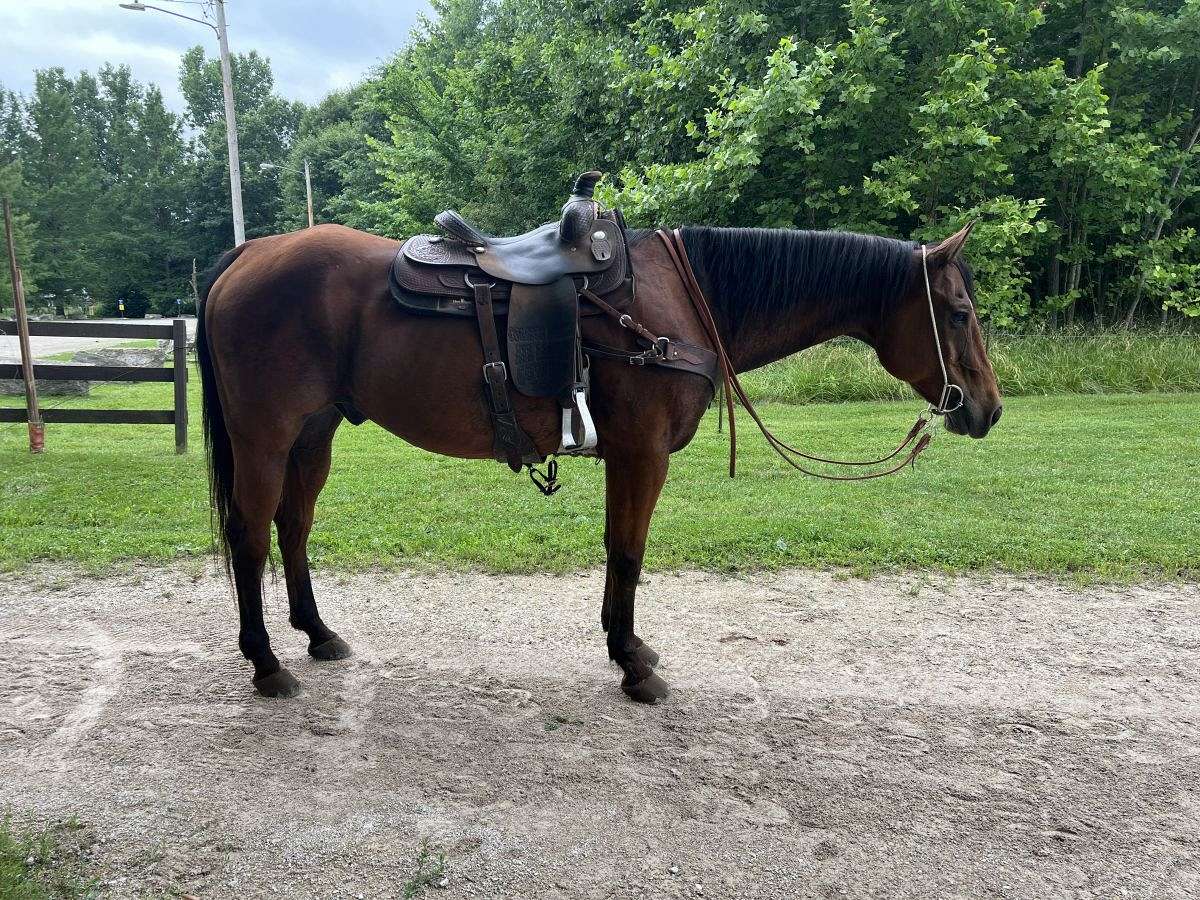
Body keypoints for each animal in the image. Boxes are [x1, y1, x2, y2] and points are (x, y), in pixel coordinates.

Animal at [195, 220, 1002, 703]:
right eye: (961, 312)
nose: (988, 409)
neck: (680, 298)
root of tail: (248, 253)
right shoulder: (640, 455)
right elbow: (628, 551)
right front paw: (630, 660)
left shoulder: (629, 456)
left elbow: (622, 551)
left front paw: (627, 644)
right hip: (266, 437)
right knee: (250, 534)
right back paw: (265, 662)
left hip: (313, 435)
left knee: (293, 529)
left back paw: (317, 635)